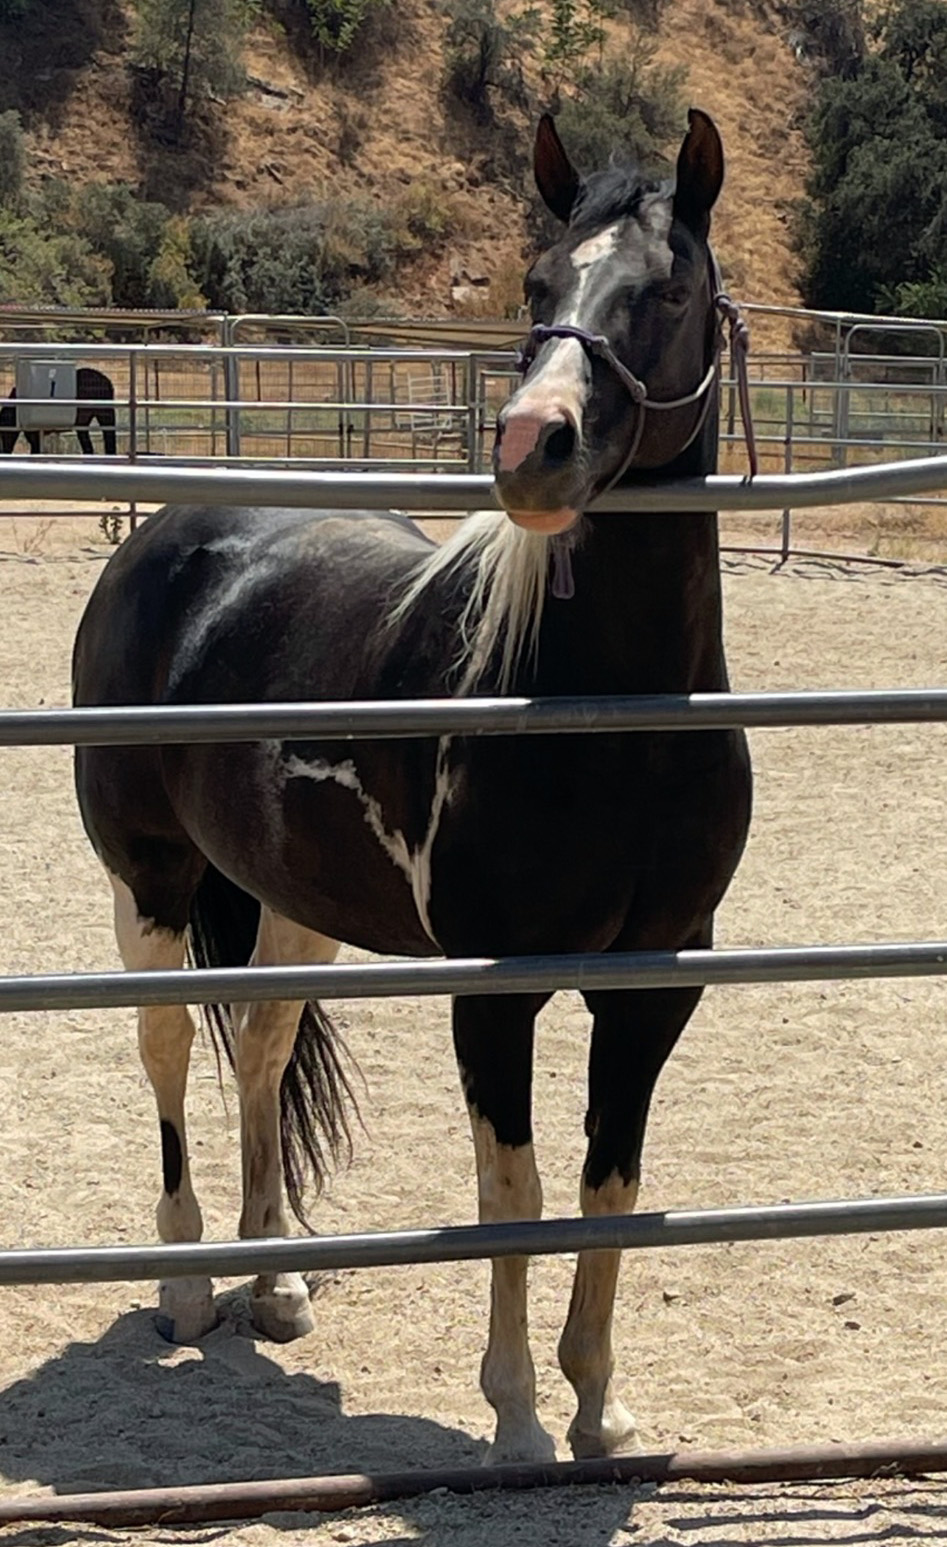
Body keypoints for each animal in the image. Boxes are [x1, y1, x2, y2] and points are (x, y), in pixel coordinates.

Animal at [72, 108, 752, 1464]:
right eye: (535, 285)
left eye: (666, 290)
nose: (531, 446)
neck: (614, 722)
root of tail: (165, 538)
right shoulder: (494, 990)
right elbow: (514, 1190)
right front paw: (518, 1418)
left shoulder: (656, 983)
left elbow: (608, 1182)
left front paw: (599, 1404)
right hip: (150, 879)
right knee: (166, 1045)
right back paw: (185, 1283)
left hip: (288, 901)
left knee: (265, 1044)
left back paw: (275, 1280)